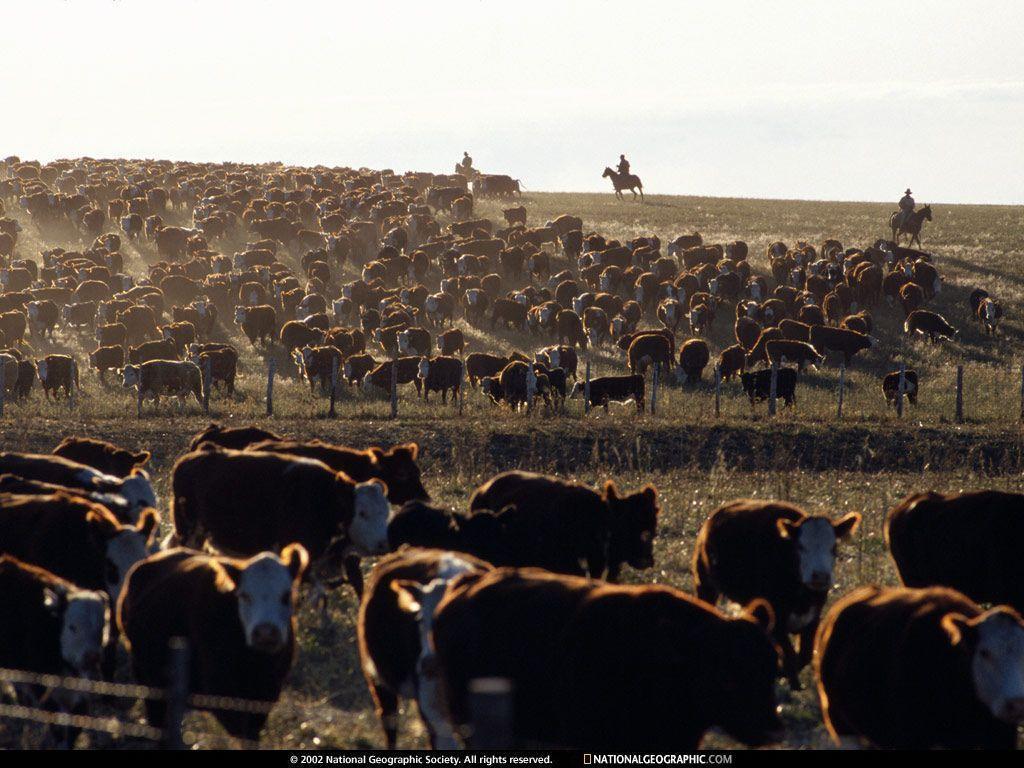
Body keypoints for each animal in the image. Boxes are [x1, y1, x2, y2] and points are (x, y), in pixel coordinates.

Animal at [118, 545, 309, 741]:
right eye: (244, 595)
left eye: (286, 595)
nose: (265, 633)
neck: (252, 659)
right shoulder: (220, 687)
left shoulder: (267, 691)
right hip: (146, 678)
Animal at [693, 499, 860, 689]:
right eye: (800, 546)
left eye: (833, 547)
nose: (820, 576)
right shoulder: (776, 620)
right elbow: (790, 656)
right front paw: (793, 685)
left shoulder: (813, 617)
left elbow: (804, 654)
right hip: (705, 585)